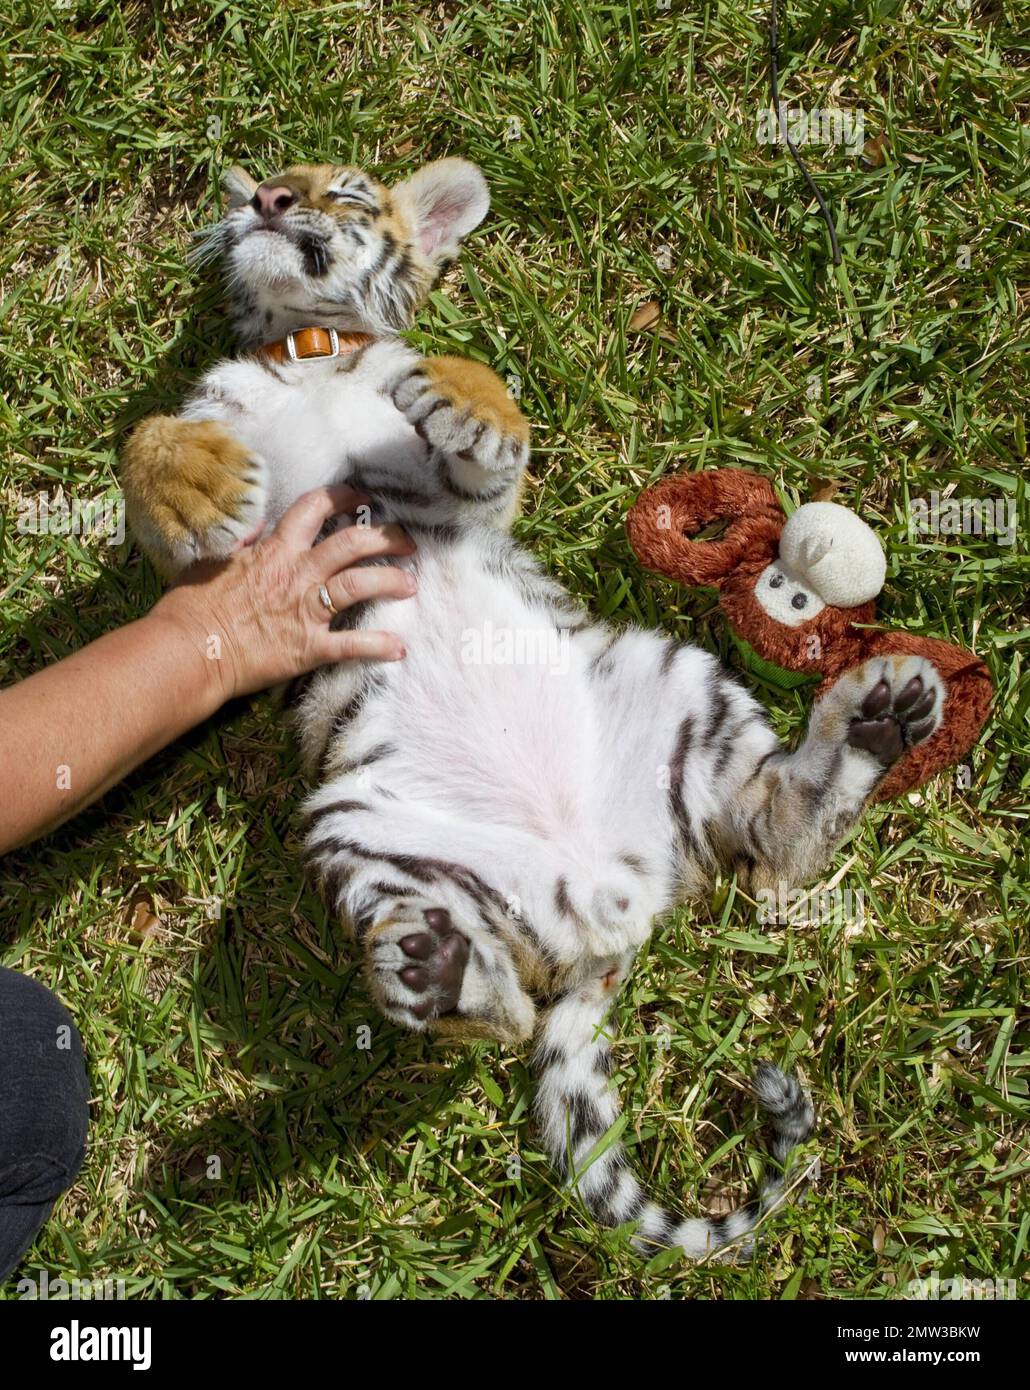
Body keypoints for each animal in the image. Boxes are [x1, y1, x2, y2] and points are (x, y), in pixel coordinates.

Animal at [120, 156, 944, 1260]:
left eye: (341, 189)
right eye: (276, 185)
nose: (268, 202)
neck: (307, 353)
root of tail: (614, 908)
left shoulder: (452, 496)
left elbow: (487, 413)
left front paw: (462, 390)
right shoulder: (214, 570)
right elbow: (151, 436)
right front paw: (193, 484)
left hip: (676, 678)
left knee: (772, 835)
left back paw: (875, 718)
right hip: (361, 829)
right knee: (509, 1011)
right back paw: (429, 968)